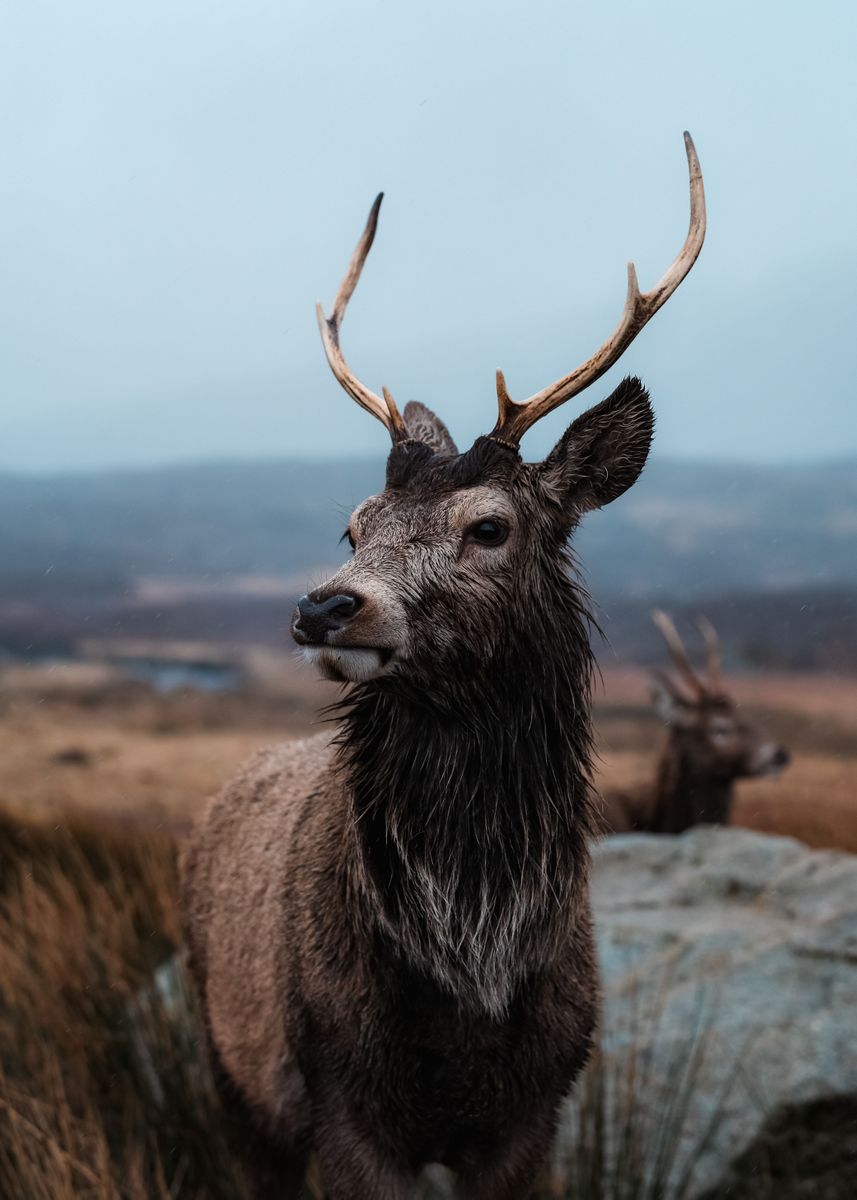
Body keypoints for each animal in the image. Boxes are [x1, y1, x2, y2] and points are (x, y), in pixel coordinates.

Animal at [181, 133, 706, 1200]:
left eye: (489, 527)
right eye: (353, 525)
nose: (322, 606)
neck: (470, 976)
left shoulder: (535, 1109)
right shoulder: (338, 1101)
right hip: (229, 1072)